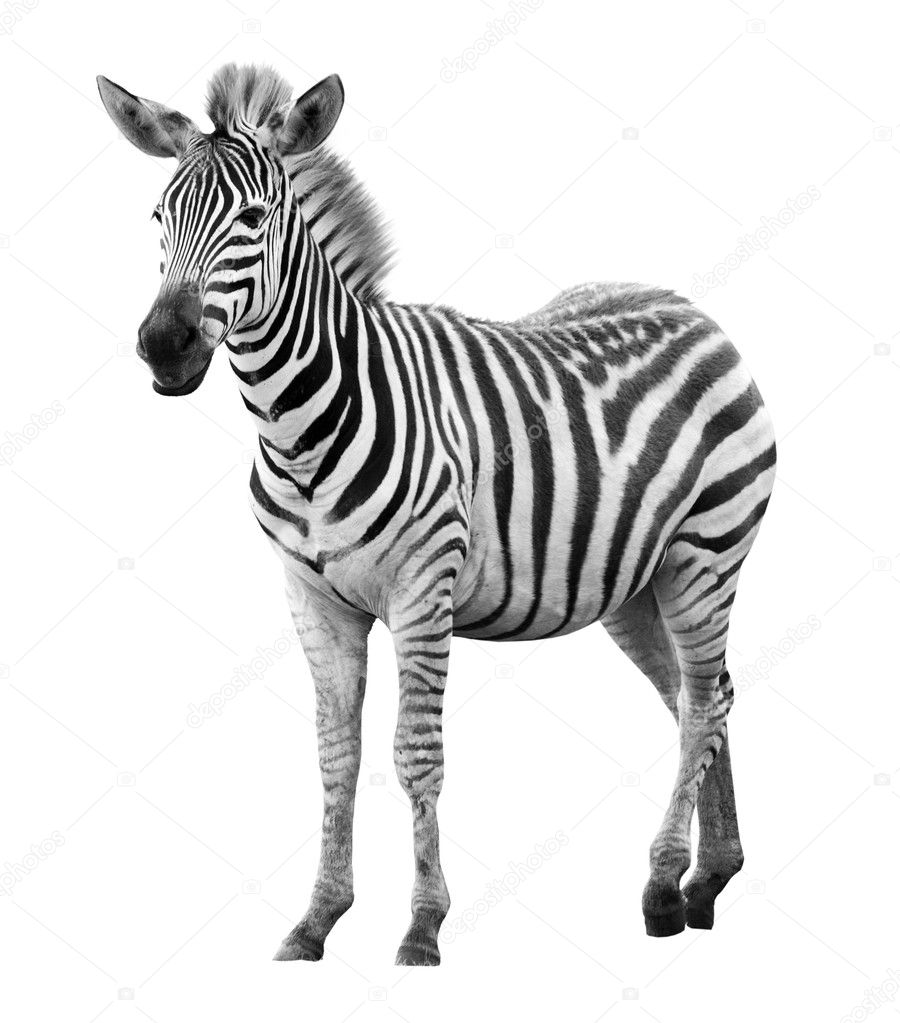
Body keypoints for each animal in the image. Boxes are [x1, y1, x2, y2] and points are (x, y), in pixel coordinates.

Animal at [97, 63, 776, 965]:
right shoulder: (311, 599)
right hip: (635, 582)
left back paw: (665, 885)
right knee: (707, 696)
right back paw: (711, 876)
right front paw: (316, 919)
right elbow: (336, 755)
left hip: (709, 550)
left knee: (701, 703)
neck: (301, 427)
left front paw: (422, 925)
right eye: (158, 218)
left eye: (255, 218)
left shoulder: (423, 589)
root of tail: (693, 309)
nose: (163, 345)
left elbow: (415, 756)